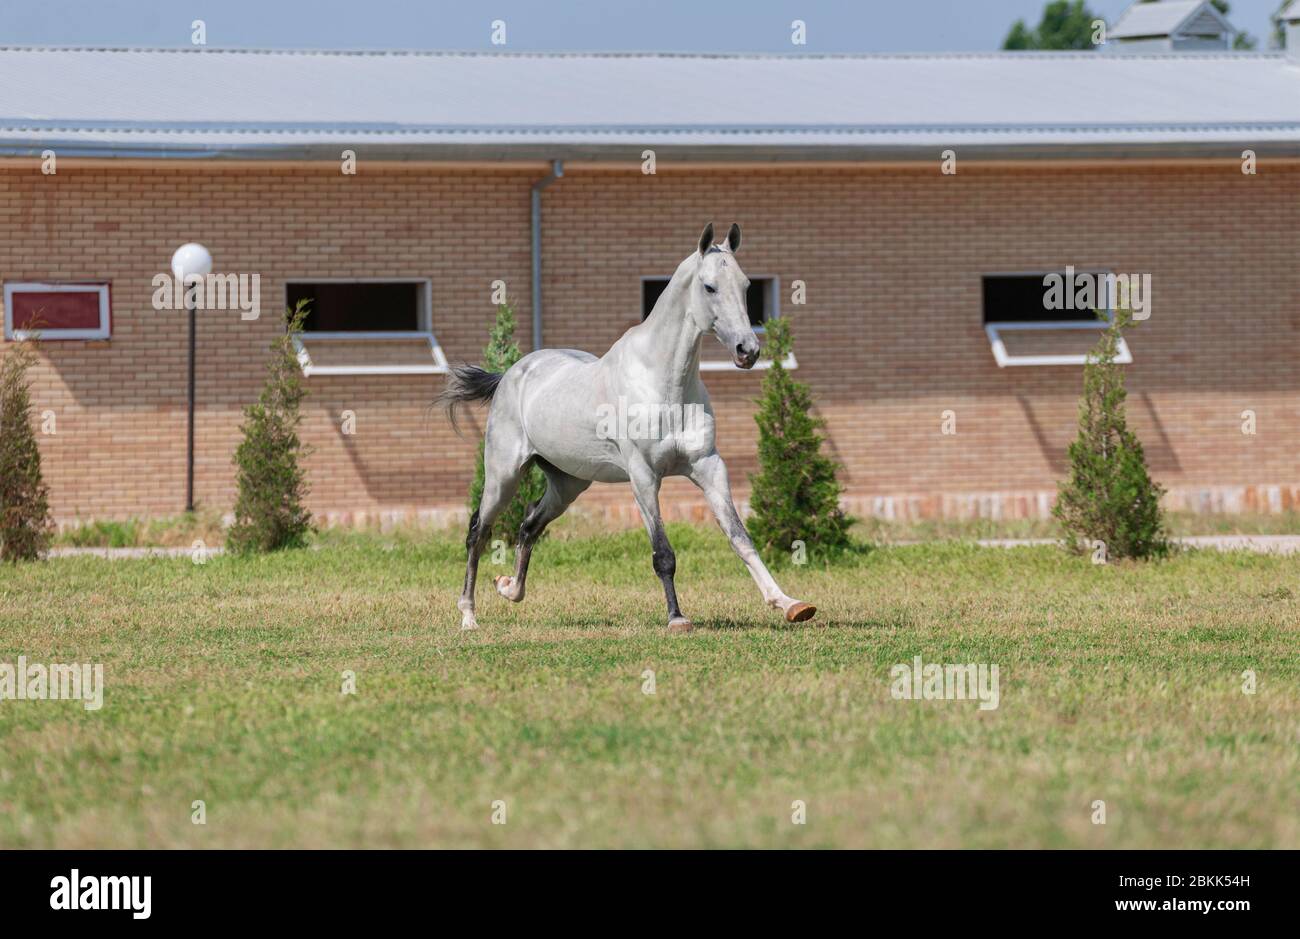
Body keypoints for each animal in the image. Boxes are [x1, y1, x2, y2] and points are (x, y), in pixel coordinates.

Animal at [439, 222, 816, 633]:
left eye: (747, 285)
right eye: (709, 287)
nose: (747, 350)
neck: (664, 384)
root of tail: (511, 374)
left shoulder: (709, 467)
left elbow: (740, 537)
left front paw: (790, 604)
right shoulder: (644, 476)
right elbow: (663, 553)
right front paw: (677, 618)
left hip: (568, 484)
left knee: (529, 525)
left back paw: (509, 588)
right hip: (503, 475)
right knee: (478, 533)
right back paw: (468, 616)